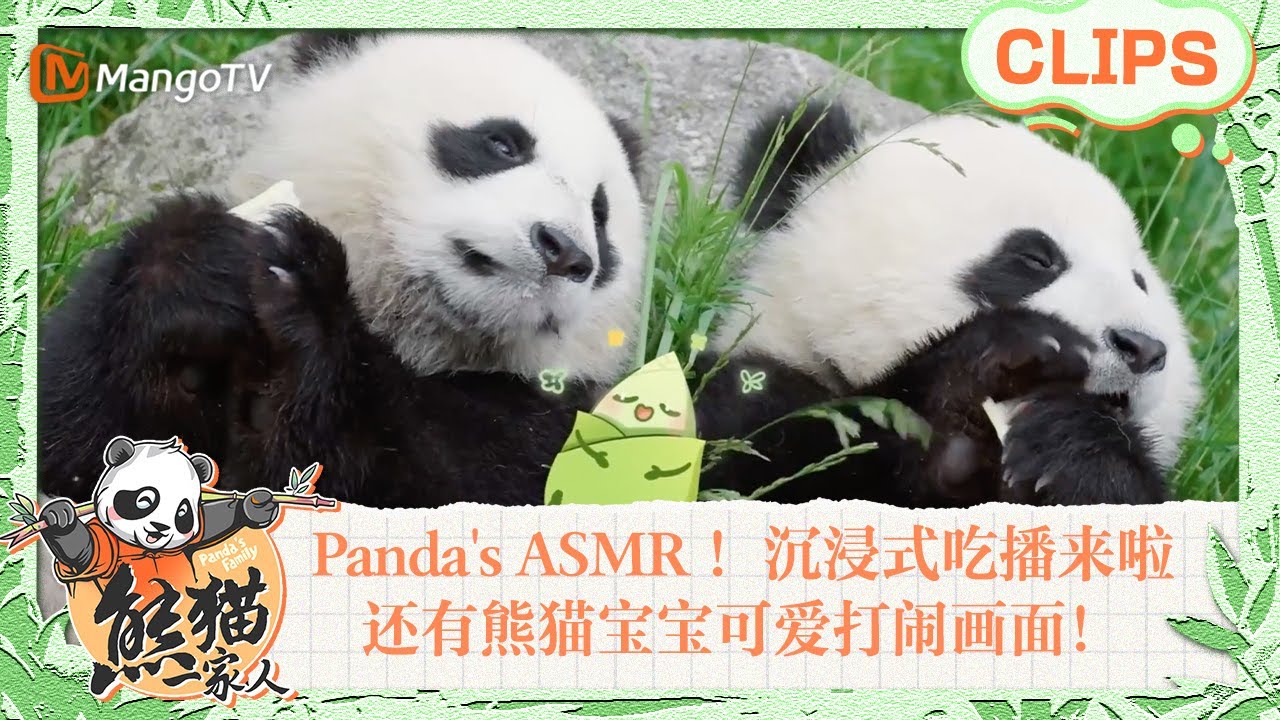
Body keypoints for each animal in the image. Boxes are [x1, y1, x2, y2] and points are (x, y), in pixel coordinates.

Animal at [707, 100, 1201, 506]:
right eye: (1036, 258)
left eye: (1139, 281)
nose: (1142, 347)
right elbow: (764, 458)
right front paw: (985, 368)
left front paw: (1075, 449)